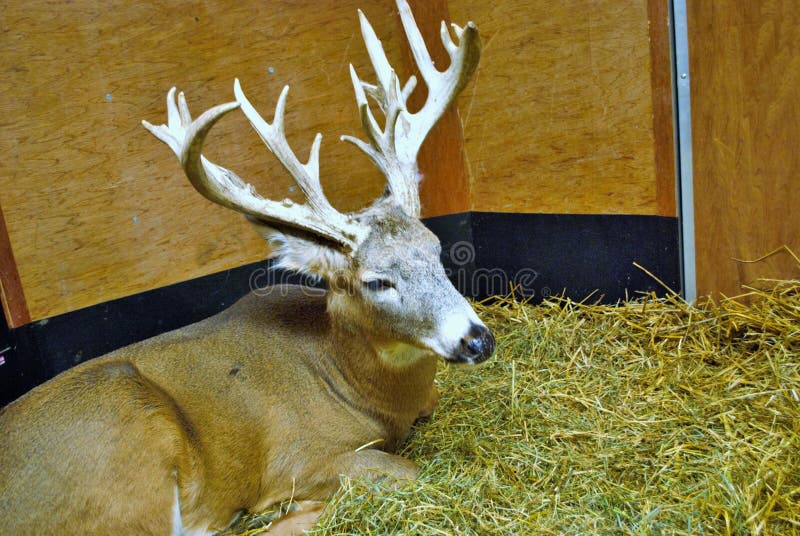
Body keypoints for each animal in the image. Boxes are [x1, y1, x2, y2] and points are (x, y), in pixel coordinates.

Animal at [0, 1, 491, 534]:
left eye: (436, 248)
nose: (477, 339)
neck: (361, 390)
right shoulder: (300, 455)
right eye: (377, 281)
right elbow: (409, 470)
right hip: (126, 435)